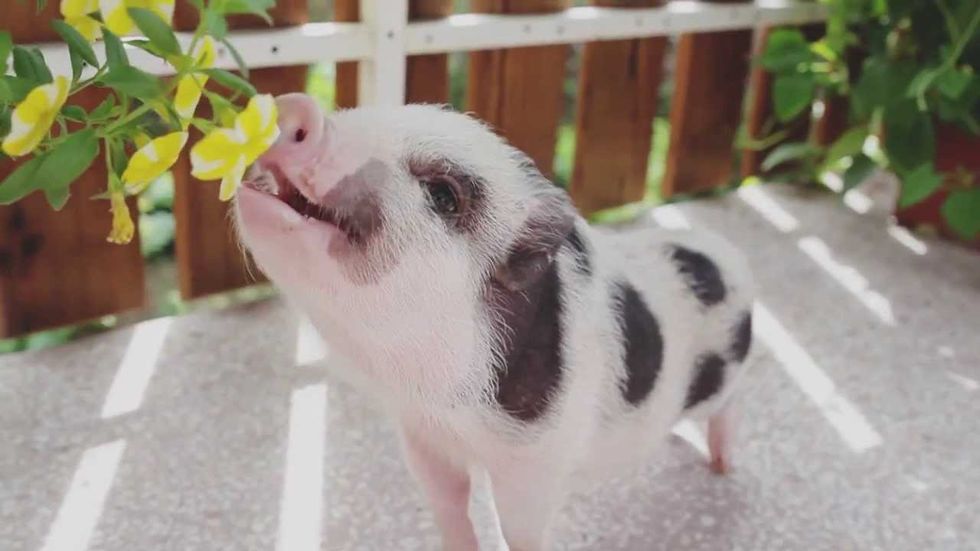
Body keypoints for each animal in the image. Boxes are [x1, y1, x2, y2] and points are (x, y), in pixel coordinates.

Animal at [235, 93, 755, 551]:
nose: (295, 106)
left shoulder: (536, 463)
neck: (450, 408)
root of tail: (729, 254)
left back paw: (725, 466)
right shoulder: (422, 437)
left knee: (733, 401)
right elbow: (448, 503)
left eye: (444, 195)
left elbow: (519, 531)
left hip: (726, 374)